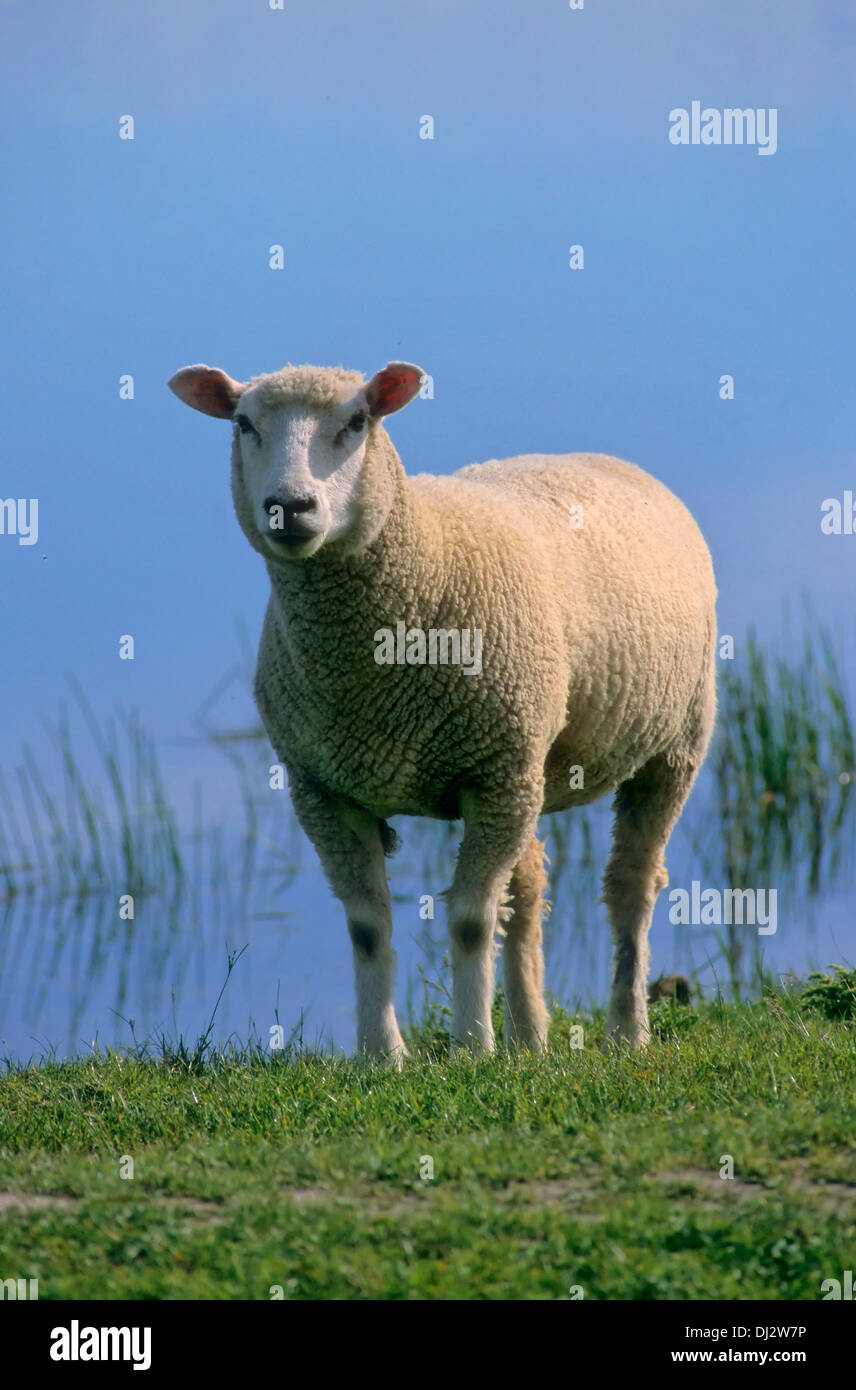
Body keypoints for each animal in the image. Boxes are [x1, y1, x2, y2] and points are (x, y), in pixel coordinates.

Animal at [168, 359, 717, 1064]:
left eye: (357, 422)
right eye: (243, 424)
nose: (289, 508)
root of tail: (604, 458)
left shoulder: (492, 772)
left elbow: (470, 921)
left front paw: (473, 1047)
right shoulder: (322, 787)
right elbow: (368, 927)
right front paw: (382, 1055)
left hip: (670, 741)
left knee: (630, 888)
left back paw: (627, 1032)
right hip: (529, 766)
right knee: (529, 891)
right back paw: (531, 1039)